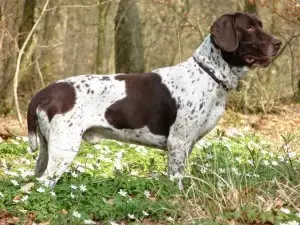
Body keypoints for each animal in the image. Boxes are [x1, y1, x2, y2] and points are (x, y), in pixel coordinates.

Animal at [26, 12, 282, 188]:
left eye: (260, 25)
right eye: (249, 27)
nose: (279, 43)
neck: (208, 75)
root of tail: (45, 91)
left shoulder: (187, 145)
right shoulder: (178, 143)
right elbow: (176, 182)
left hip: (47, 151)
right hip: (64, 149)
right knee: (44, 184)